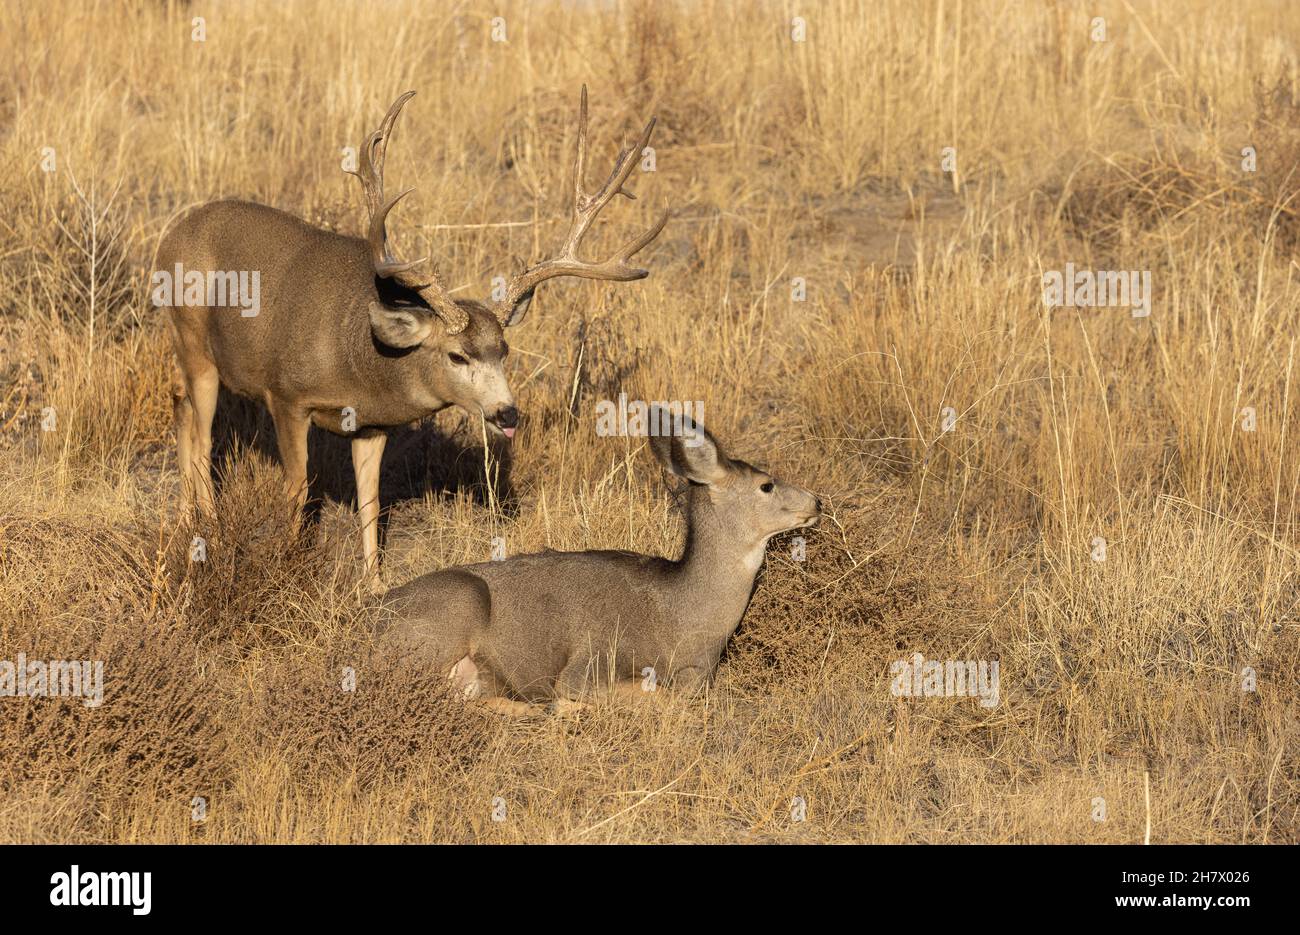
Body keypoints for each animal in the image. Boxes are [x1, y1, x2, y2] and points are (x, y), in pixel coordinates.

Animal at [155, 88, 667, 587]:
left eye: (504, 351)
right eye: (457, 356)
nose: (507, 412)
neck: (357, 356)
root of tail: (171, 234)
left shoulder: (371, 425)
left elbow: (371, 502)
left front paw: (374, 584)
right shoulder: (286, 396)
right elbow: (297, 488)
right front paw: (286, 565)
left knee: (180, 404)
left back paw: (184, 518)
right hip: (195, 341)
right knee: (202, 433)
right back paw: (207, 524)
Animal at [381, 410, 821, 716]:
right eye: (766, 485)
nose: (816, 501)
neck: (682, 620)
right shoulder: (590, 664)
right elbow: (662, 697)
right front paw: (565, 706)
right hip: (457, 605)